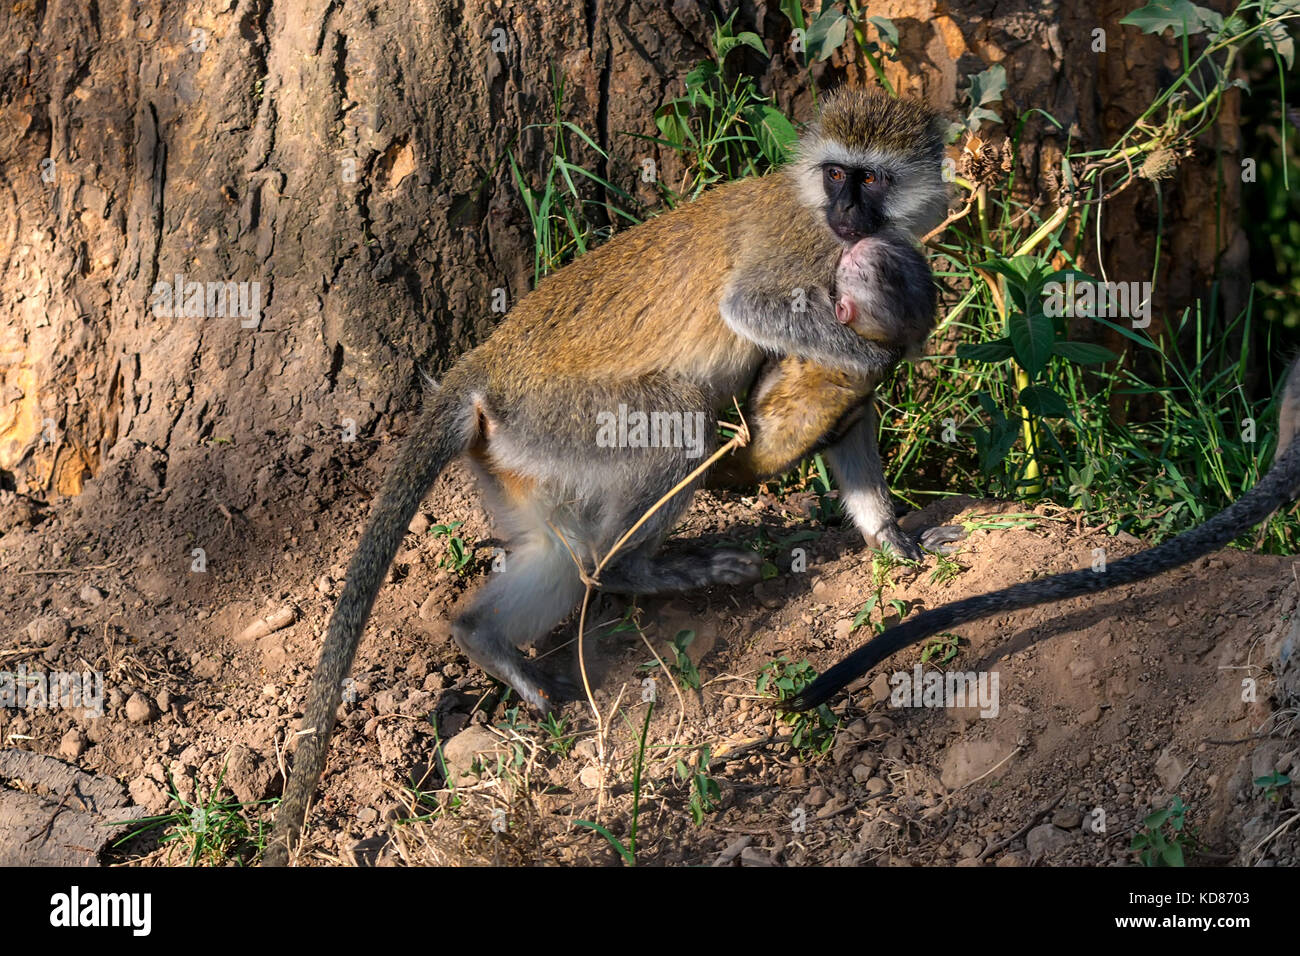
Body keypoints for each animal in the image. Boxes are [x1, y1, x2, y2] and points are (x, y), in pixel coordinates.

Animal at [264, 88, 949, 864]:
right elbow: (752, 307)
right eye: (838, 175)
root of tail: (485, 371)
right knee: (677, 429)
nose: (848, 215)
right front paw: (876, 361)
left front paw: (890, 536)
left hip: (524, 452)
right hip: (569, 417)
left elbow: (853, 420)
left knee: (559, 559)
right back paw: (633, 571)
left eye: (871, 179)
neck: (815, 209)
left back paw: (483, 637)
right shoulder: (806, 252)